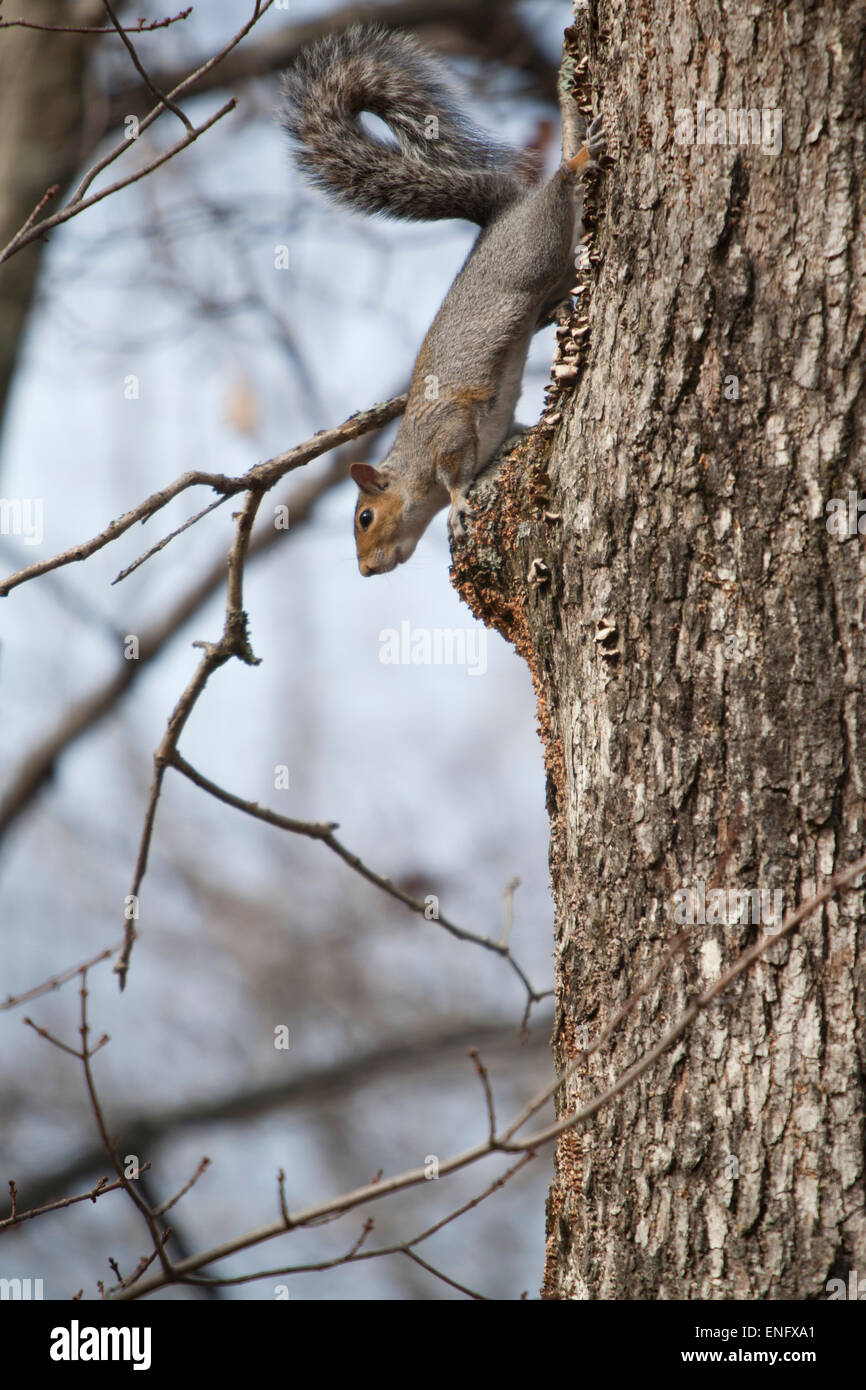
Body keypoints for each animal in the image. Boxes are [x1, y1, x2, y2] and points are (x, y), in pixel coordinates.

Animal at [281, 24, 605, 576]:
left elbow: (455, 477)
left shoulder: (447, 436)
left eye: (365, 517)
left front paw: (455, 509)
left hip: (534, 246)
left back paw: (578, 161)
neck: (412, 464)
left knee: (558, 185)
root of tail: (502, 217)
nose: (366, 571)